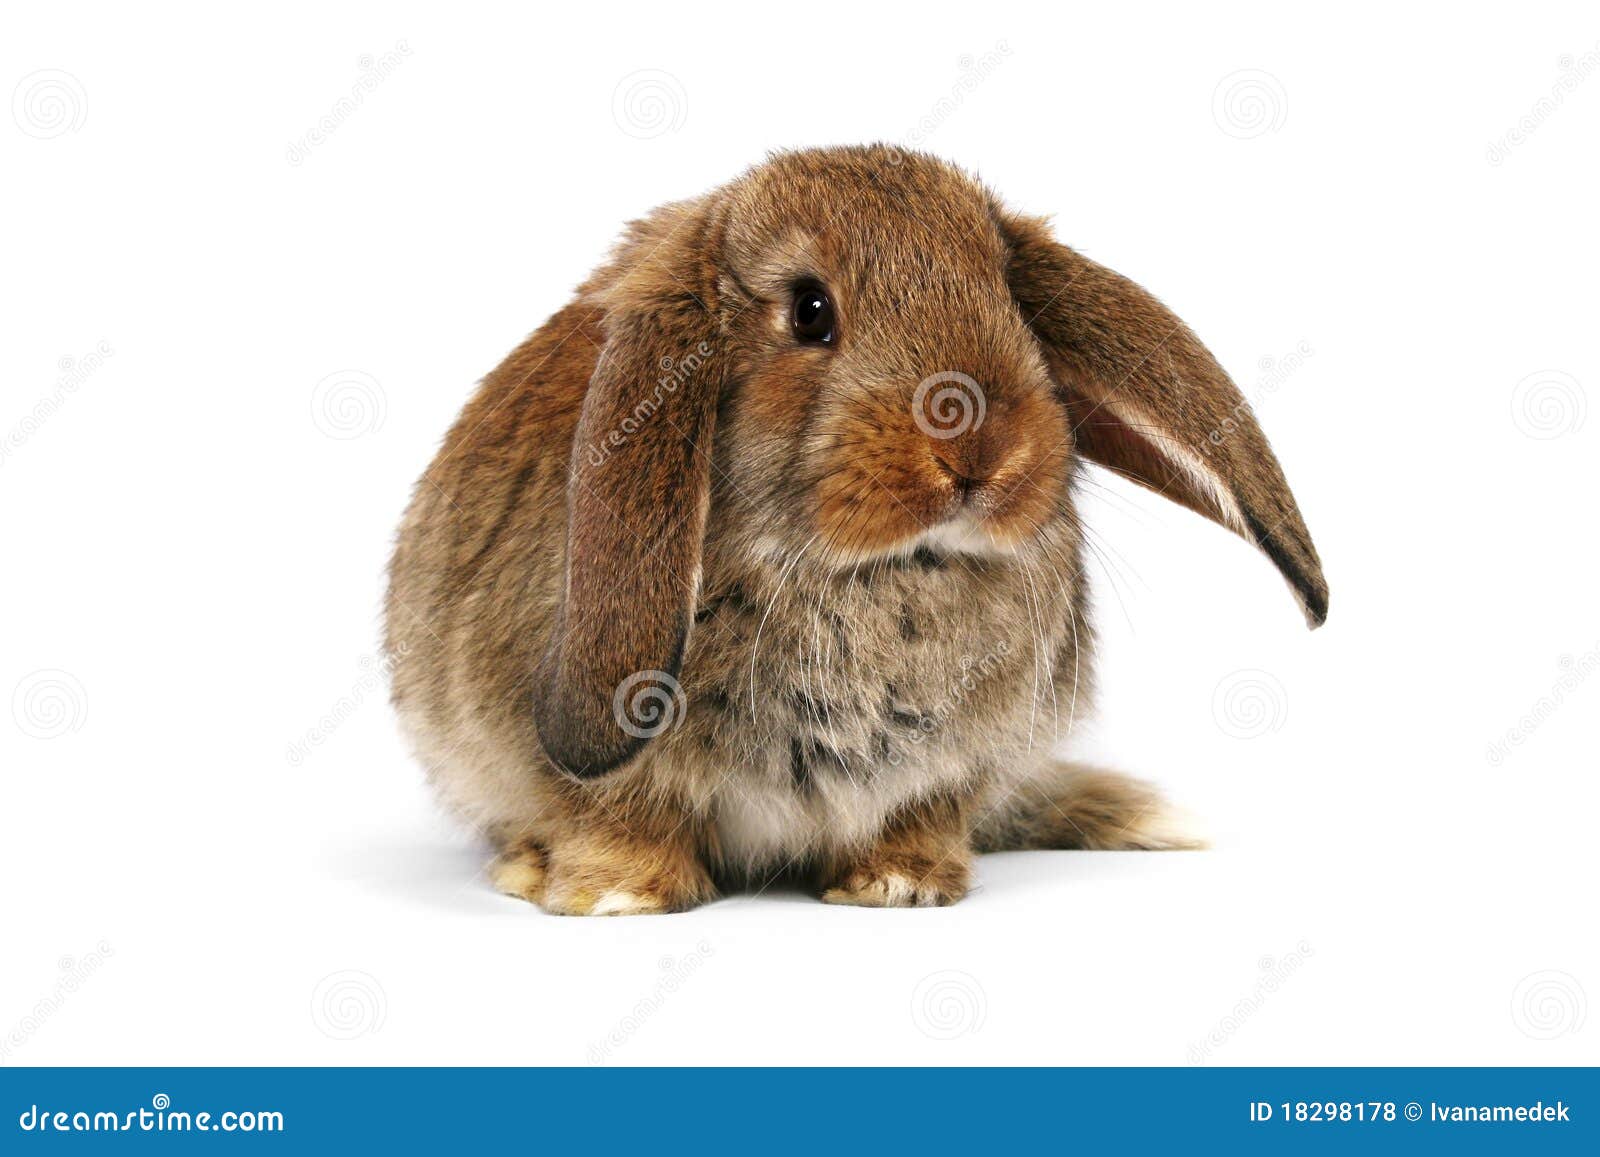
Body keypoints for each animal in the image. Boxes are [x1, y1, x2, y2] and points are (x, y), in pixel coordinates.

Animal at [385, 145, 1326, 915]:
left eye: (1009, 301)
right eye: (809, 310)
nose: (980, 450)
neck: (885, 572)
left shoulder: (947, 772)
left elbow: (916, 820)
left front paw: (899, 884)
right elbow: (611, 810)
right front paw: (617, 894)